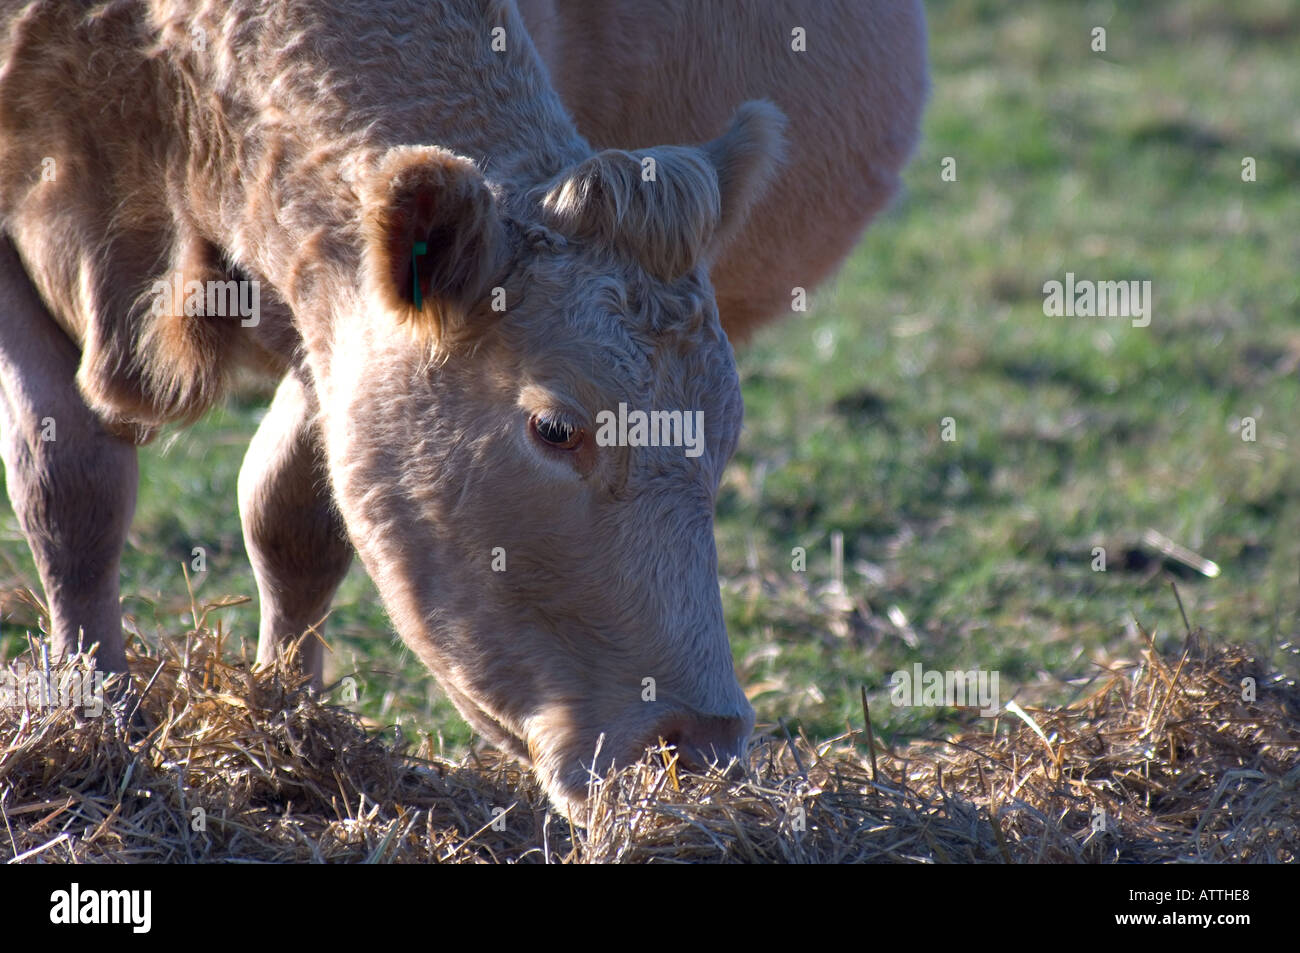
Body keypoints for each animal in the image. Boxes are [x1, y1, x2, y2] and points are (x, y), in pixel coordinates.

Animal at [0, 0, 926, 814]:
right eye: (555, 428)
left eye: (728, 438)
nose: (698, 747)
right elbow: (68, 486)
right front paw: (98, 710)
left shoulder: (329, 301)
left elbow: (293, 517)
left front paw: (284, 713)